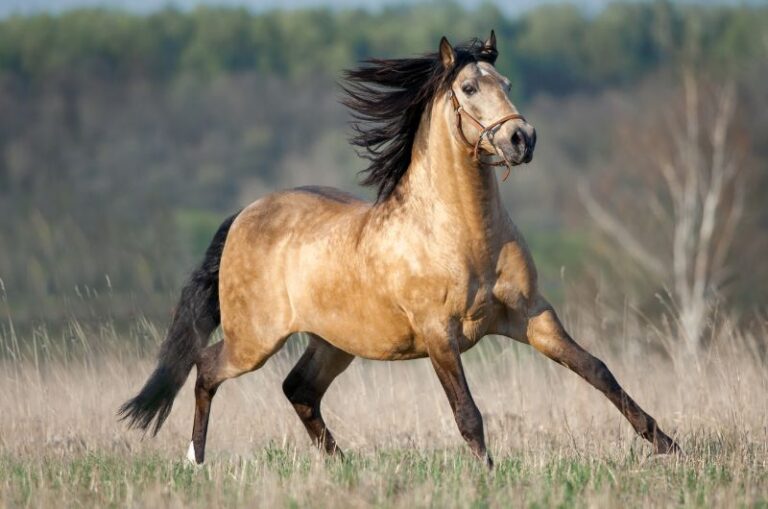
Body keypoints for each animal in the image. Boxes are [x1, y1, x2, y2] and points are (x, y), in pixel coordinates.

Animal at [119, 32, 680, 467]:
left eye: (507, 85)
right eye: (469, 87)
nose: (523, 139)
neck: (463, 235)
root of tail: (246, 214)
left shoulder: (531, 316)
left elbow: (598, 370)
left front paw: (669, 445)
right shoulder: (439, 335)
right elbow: (468, 413)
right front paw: (488, 474)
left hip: (333, 342)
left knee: (298, 389)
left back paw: (342, 465)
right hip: (254, 340)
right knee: (207, 368)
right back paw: (196, 460)